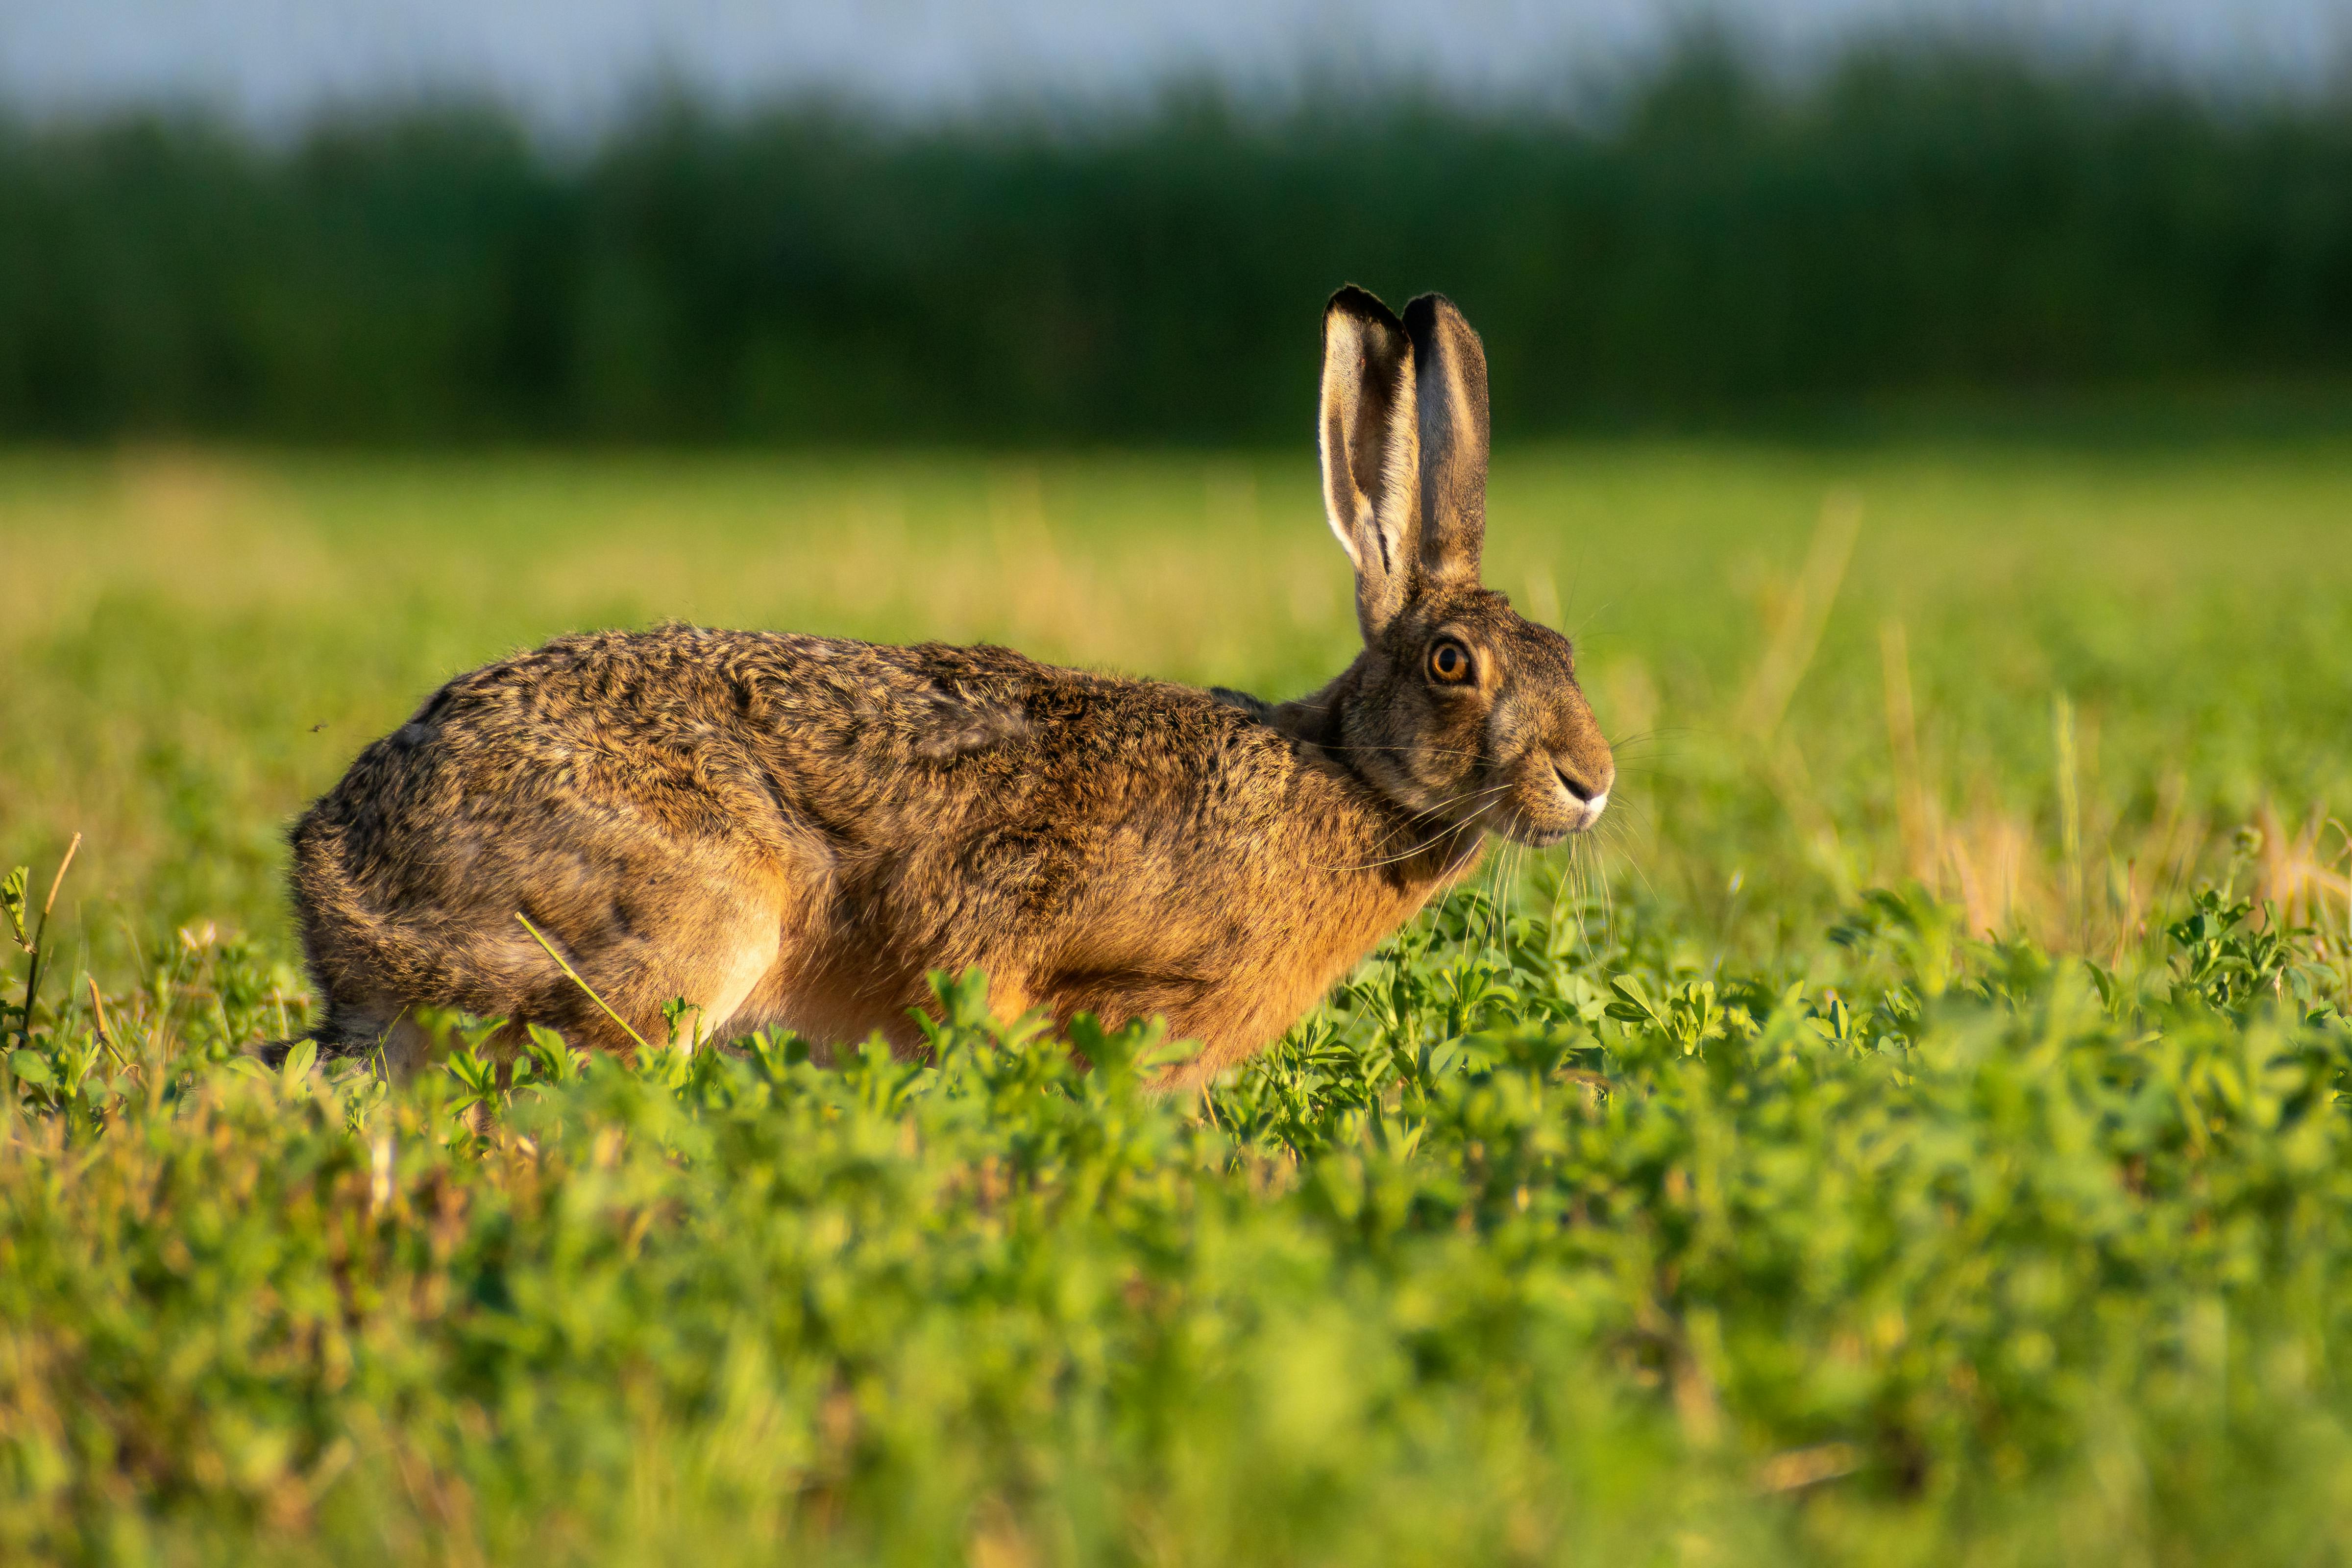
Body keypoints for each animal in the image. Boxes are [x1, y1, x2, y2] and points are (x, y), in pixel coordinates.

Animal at [286, 286, 1614, 1090]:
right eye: (1454, 664)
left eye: (1565, 647)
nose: (1591, 782)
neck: (1347, 777)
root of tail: (332, 868)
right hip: (681, 930)